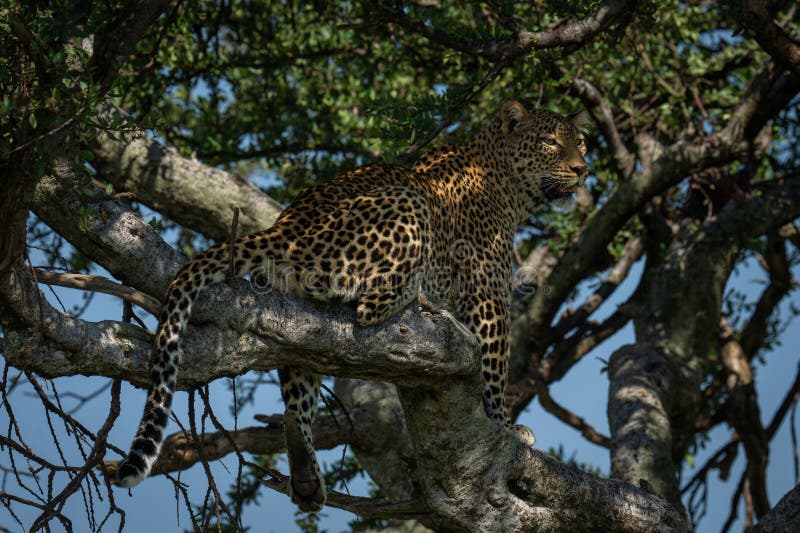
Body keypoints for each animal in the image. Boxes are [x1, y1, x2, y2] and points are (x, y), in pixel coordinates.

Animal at [118, 100, 590, 513]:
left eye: (581, 143)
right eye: (550, 141)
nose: (582, 170)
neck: (509, 184)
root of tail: (285, 228)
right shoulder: (487, 295)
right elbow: (494, 370)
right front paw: (506, 428)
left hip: (296, 319)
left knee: (298, 385)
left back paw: (305, 470)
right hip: (406, 207)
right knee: (369, 305)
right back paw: (417, 298)